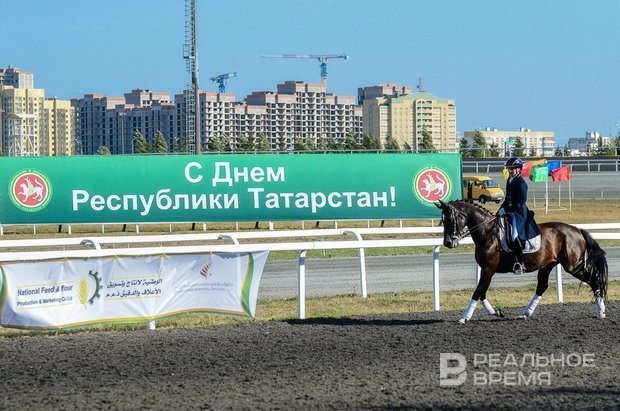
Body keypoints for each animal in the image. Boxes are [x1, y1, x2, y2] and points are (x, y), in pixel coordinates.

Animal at [434, 201, 608, 324]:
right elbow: (482, 292)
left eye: (451, 219)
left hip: (572, 266)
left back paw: (601, 311)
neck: (487, 232)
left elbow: (477, 292)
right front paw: (497, 312)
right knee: (542, 286)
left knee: (594, 280)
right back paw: (525, 314)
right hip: (547, 265)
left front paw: (464, 317)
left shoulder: (488, 269)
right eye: (442, 220)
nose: (448, 243)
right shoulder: (486, 270)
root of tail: (577, 230)